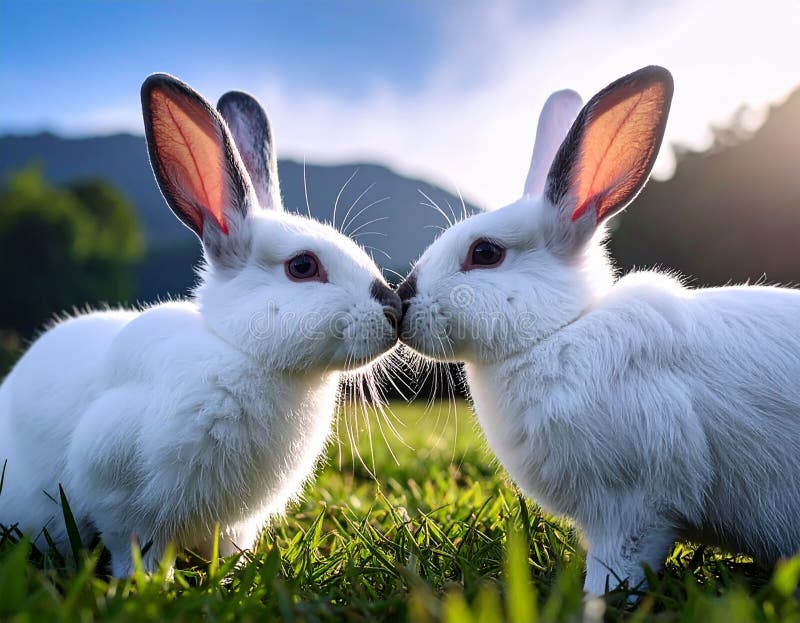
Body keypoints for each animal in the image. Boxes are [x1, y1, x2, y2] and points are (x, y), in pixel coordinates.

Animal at [0, 73, 402, 577]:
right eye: (303, 266)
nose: (395, 310)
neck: (237, 349)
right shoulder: (120, 498)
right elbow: (133, 550)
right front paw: (151, 585)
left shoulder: (236, 524)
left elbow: (230, 549)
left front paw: (234, 576)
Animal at [397, 65, 800, 596]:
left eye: (485, 253)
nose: (400, 303)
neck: (558, 333)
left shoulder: (635, 506)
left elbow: (618, 565)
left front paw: (594, 600)